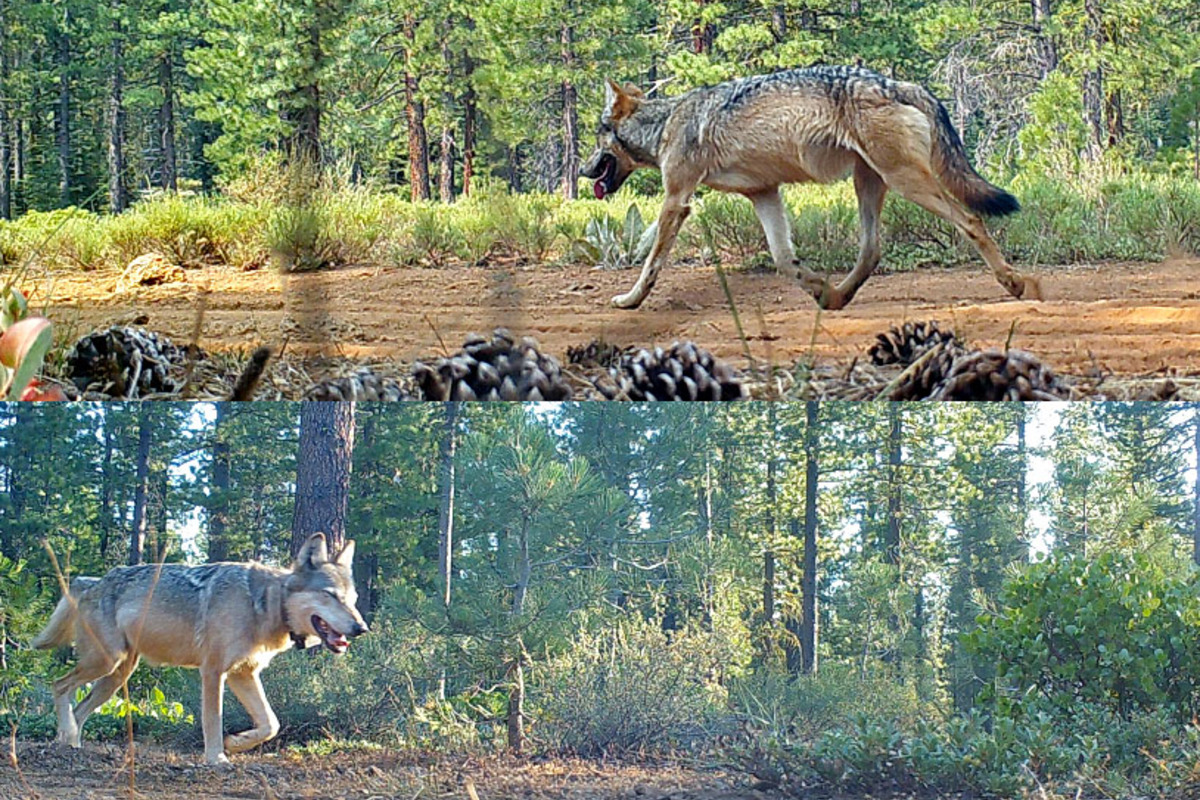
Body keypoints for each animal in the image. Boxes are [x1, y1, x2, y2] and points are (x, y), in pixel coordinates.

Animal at [32, 533, 368, 765]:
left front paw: (236, 743)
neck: (262, 603)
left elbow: (271, 724)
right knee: (59, 686)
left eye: (352, 600)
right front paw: (217, 758)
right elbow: (212, 720)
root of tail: (91, 581)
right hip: (106, 663)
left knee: (79, 707)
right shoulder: (213, 672)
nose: (361, 628)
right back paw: (68, 736)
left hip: (116, 675)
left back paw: (70, 743)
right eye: (330, 595)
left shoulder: (244, 674)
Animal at [581, 66, 1038, 310]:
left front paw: (629, 301)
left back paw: (1016, 284)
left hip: (907, 182)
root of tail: (897, 84)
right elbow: (785, 262)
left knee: (972, 220)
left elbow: (650, 265)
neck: (663, 125)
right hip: (869, 184)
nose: (584, 172)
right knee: (872, 251)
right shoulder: (765, 193)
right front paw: (816, 285)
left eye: (596, 136)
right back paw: (835, 298)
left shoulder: (676, 201)